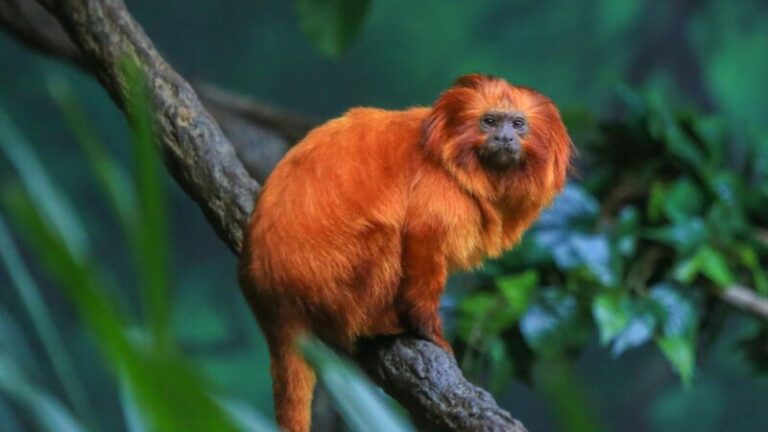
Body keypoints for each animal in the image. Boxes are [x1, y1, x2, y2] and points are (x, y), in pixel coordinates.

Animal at [239, 74, 572, 432]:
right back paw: (378, 324)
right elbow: (421, 244)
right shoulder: (439, 191)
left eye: (518, 124)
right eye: (490, 122)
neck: (459, 162)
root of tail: (269, 290)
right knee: (385, 235)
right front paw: (429, 331)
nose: (505, 138)